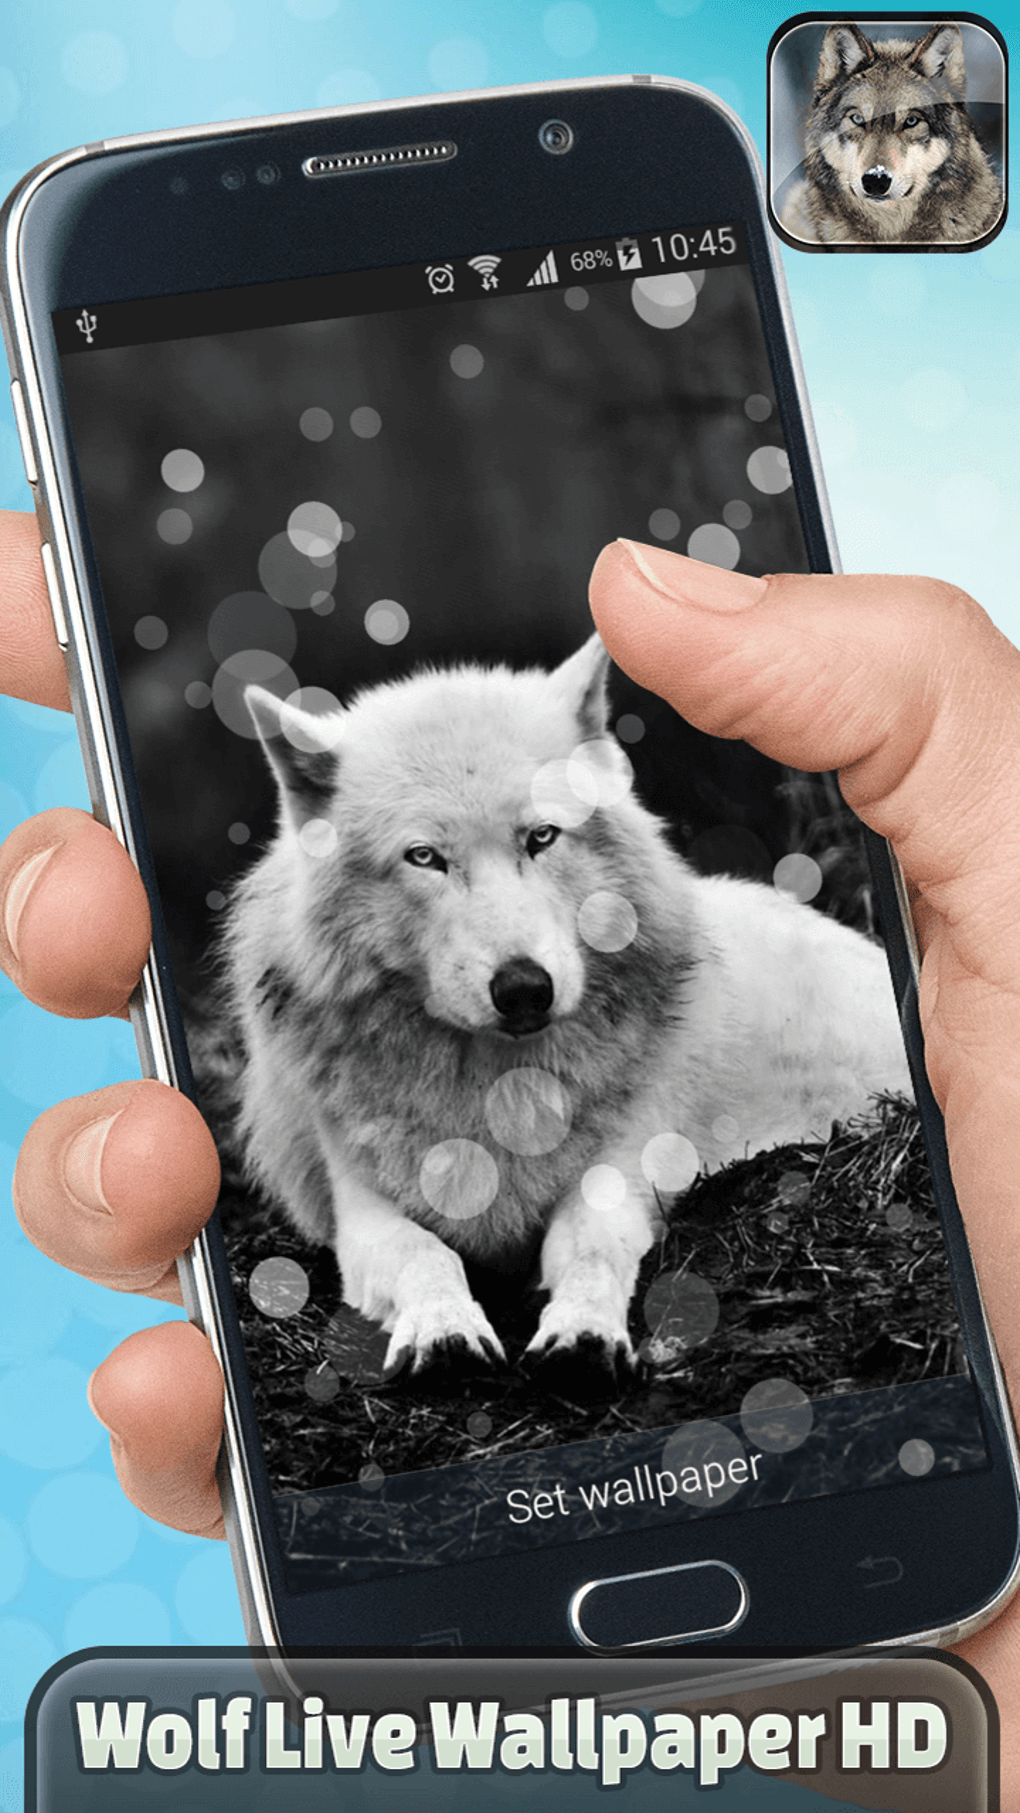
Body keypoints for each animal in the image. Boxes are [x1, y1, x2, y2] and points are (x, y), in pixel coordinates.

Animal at [223, 635, 911, 1382]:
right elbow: (424, 1254)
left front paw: (582, 1333)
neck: (498, 1091)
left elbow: (589, 1246)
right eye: (424, 857)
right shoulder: (362, 1206)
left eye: (543, 837)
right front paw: (444, 1329)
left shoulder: (622, 1168)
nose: (525, 986)